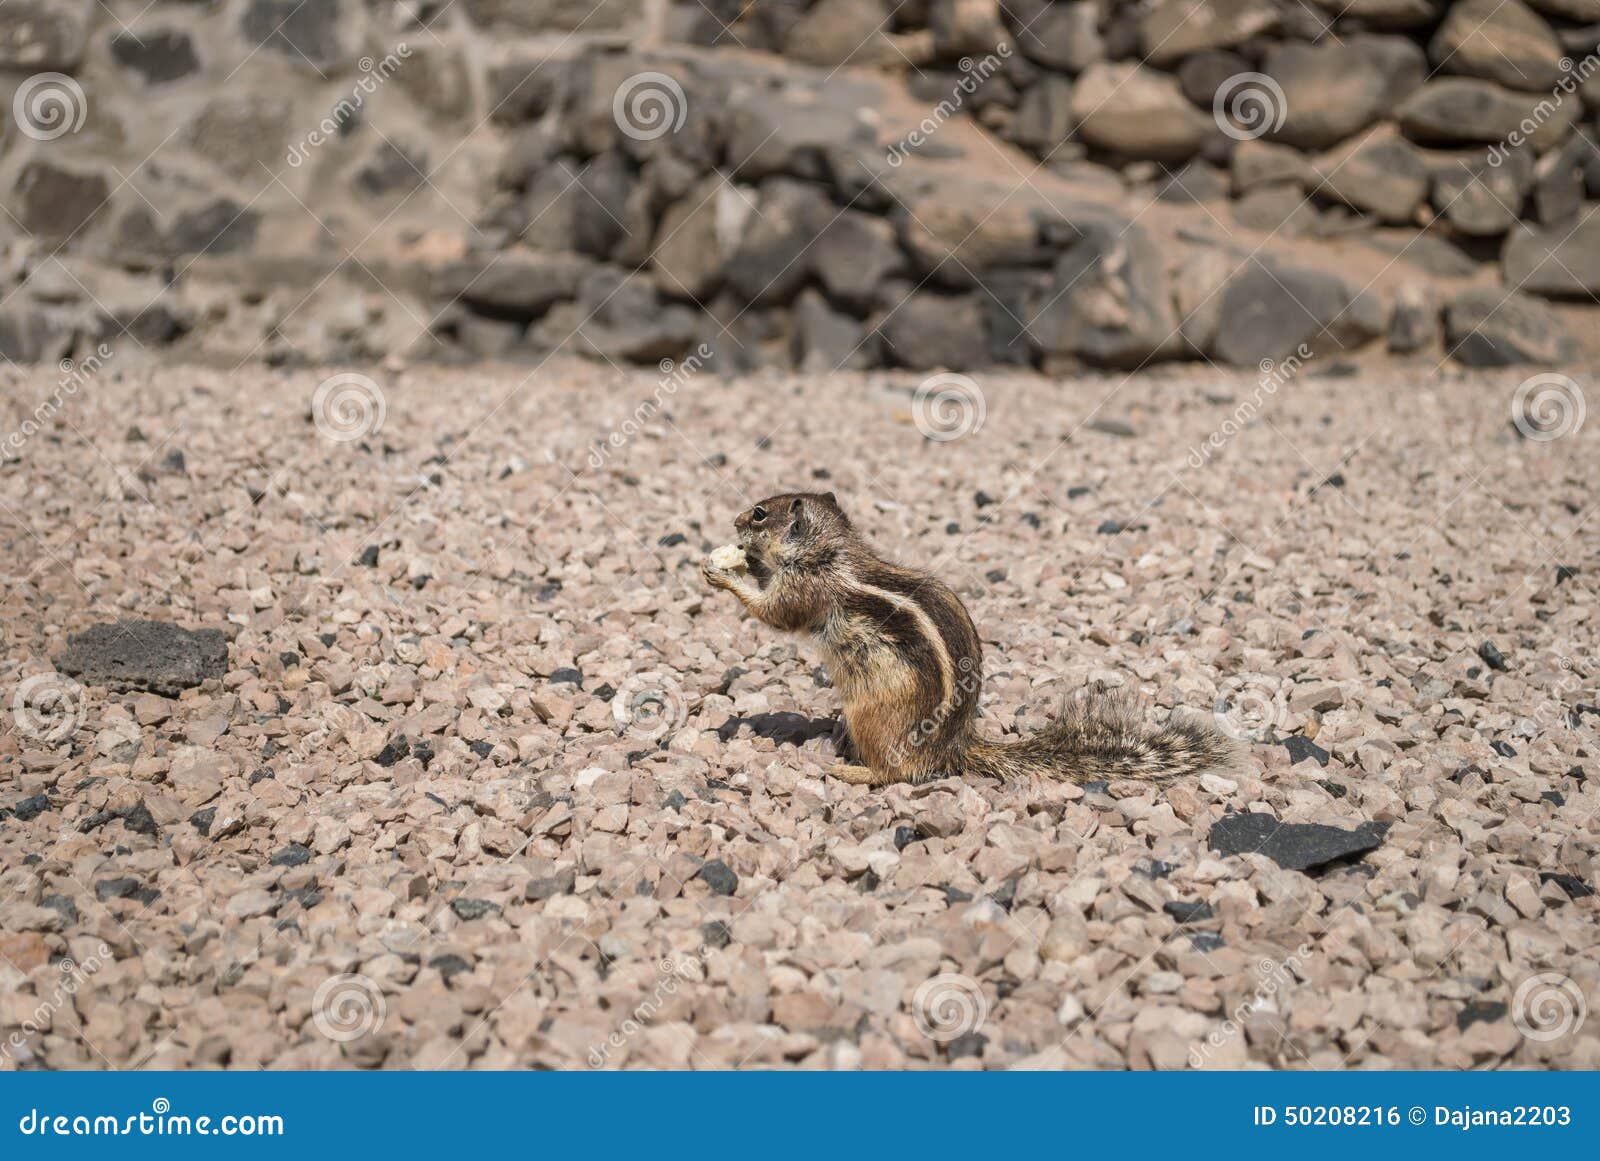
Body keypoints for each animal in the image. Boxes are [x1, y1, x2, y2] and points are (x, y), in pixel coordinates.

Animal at [702, 491, 1237, 788]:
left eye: (759, 513)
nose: (734, 522)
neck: (827, 550)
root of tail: (952, 750)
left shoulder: (806, 589)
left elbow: (776, 614)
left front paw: (723, 574)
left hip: (872, 714)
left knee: (895, 774)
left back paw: (849, 770)